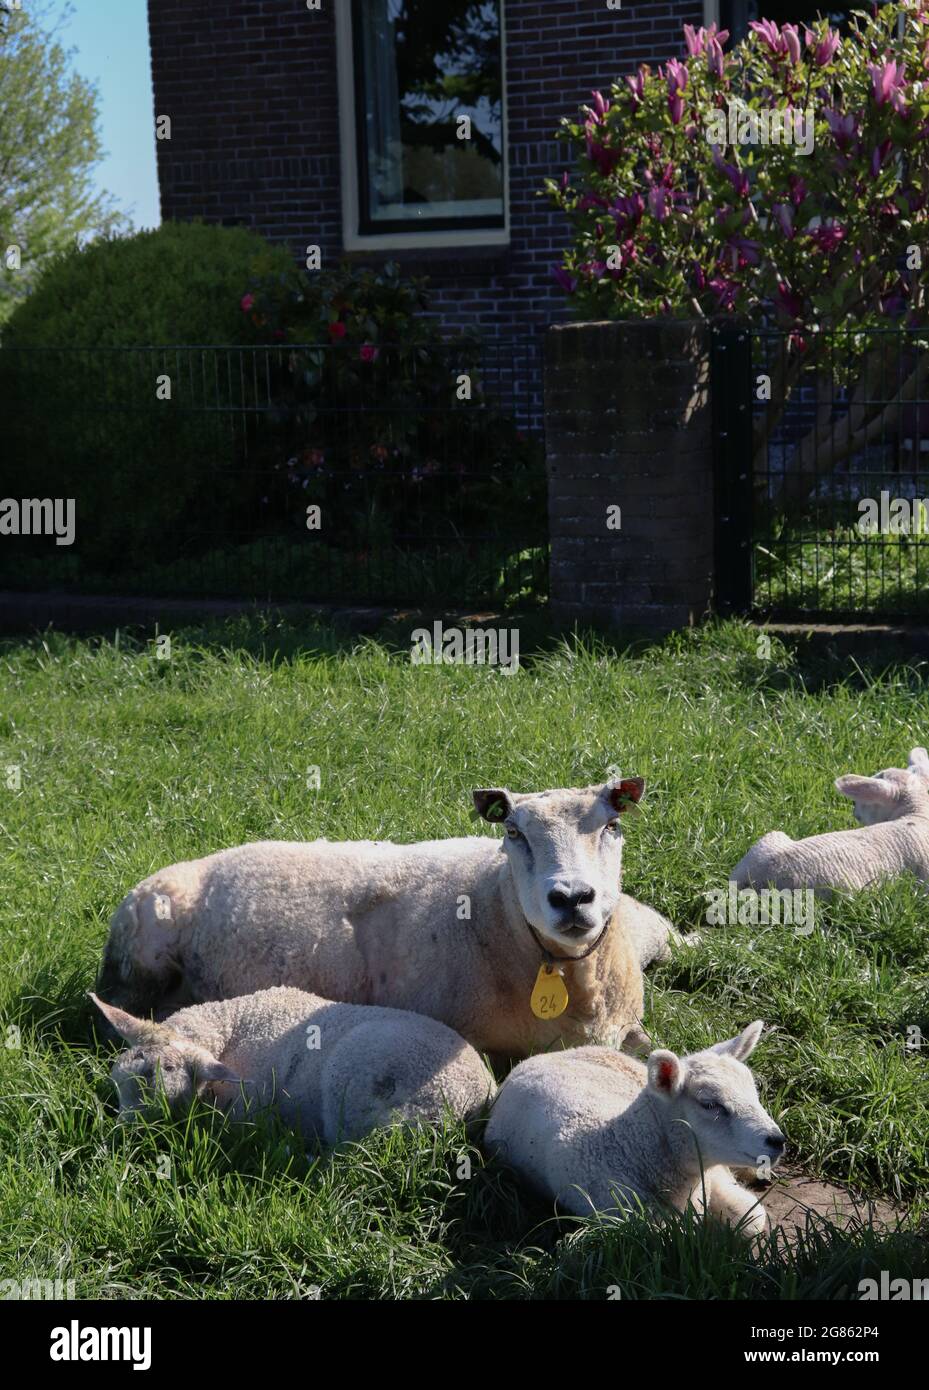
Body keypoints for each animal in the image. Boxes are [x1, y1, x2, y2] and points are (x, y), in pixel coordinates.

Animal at [90, 986, 494, 1140]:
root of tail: (481, 1095)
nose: (119, 1134)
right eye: (117, 1078)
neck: (231, 1029)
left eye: (166, 1074)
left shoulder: (246, 1108)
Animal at [483, 1020, 784, 1235]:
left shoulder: (710, 1179)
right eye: (709, 1104)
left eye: (753, 1090)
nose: (777, 1140)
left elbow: (752, 1219)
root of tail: (536, 1058)